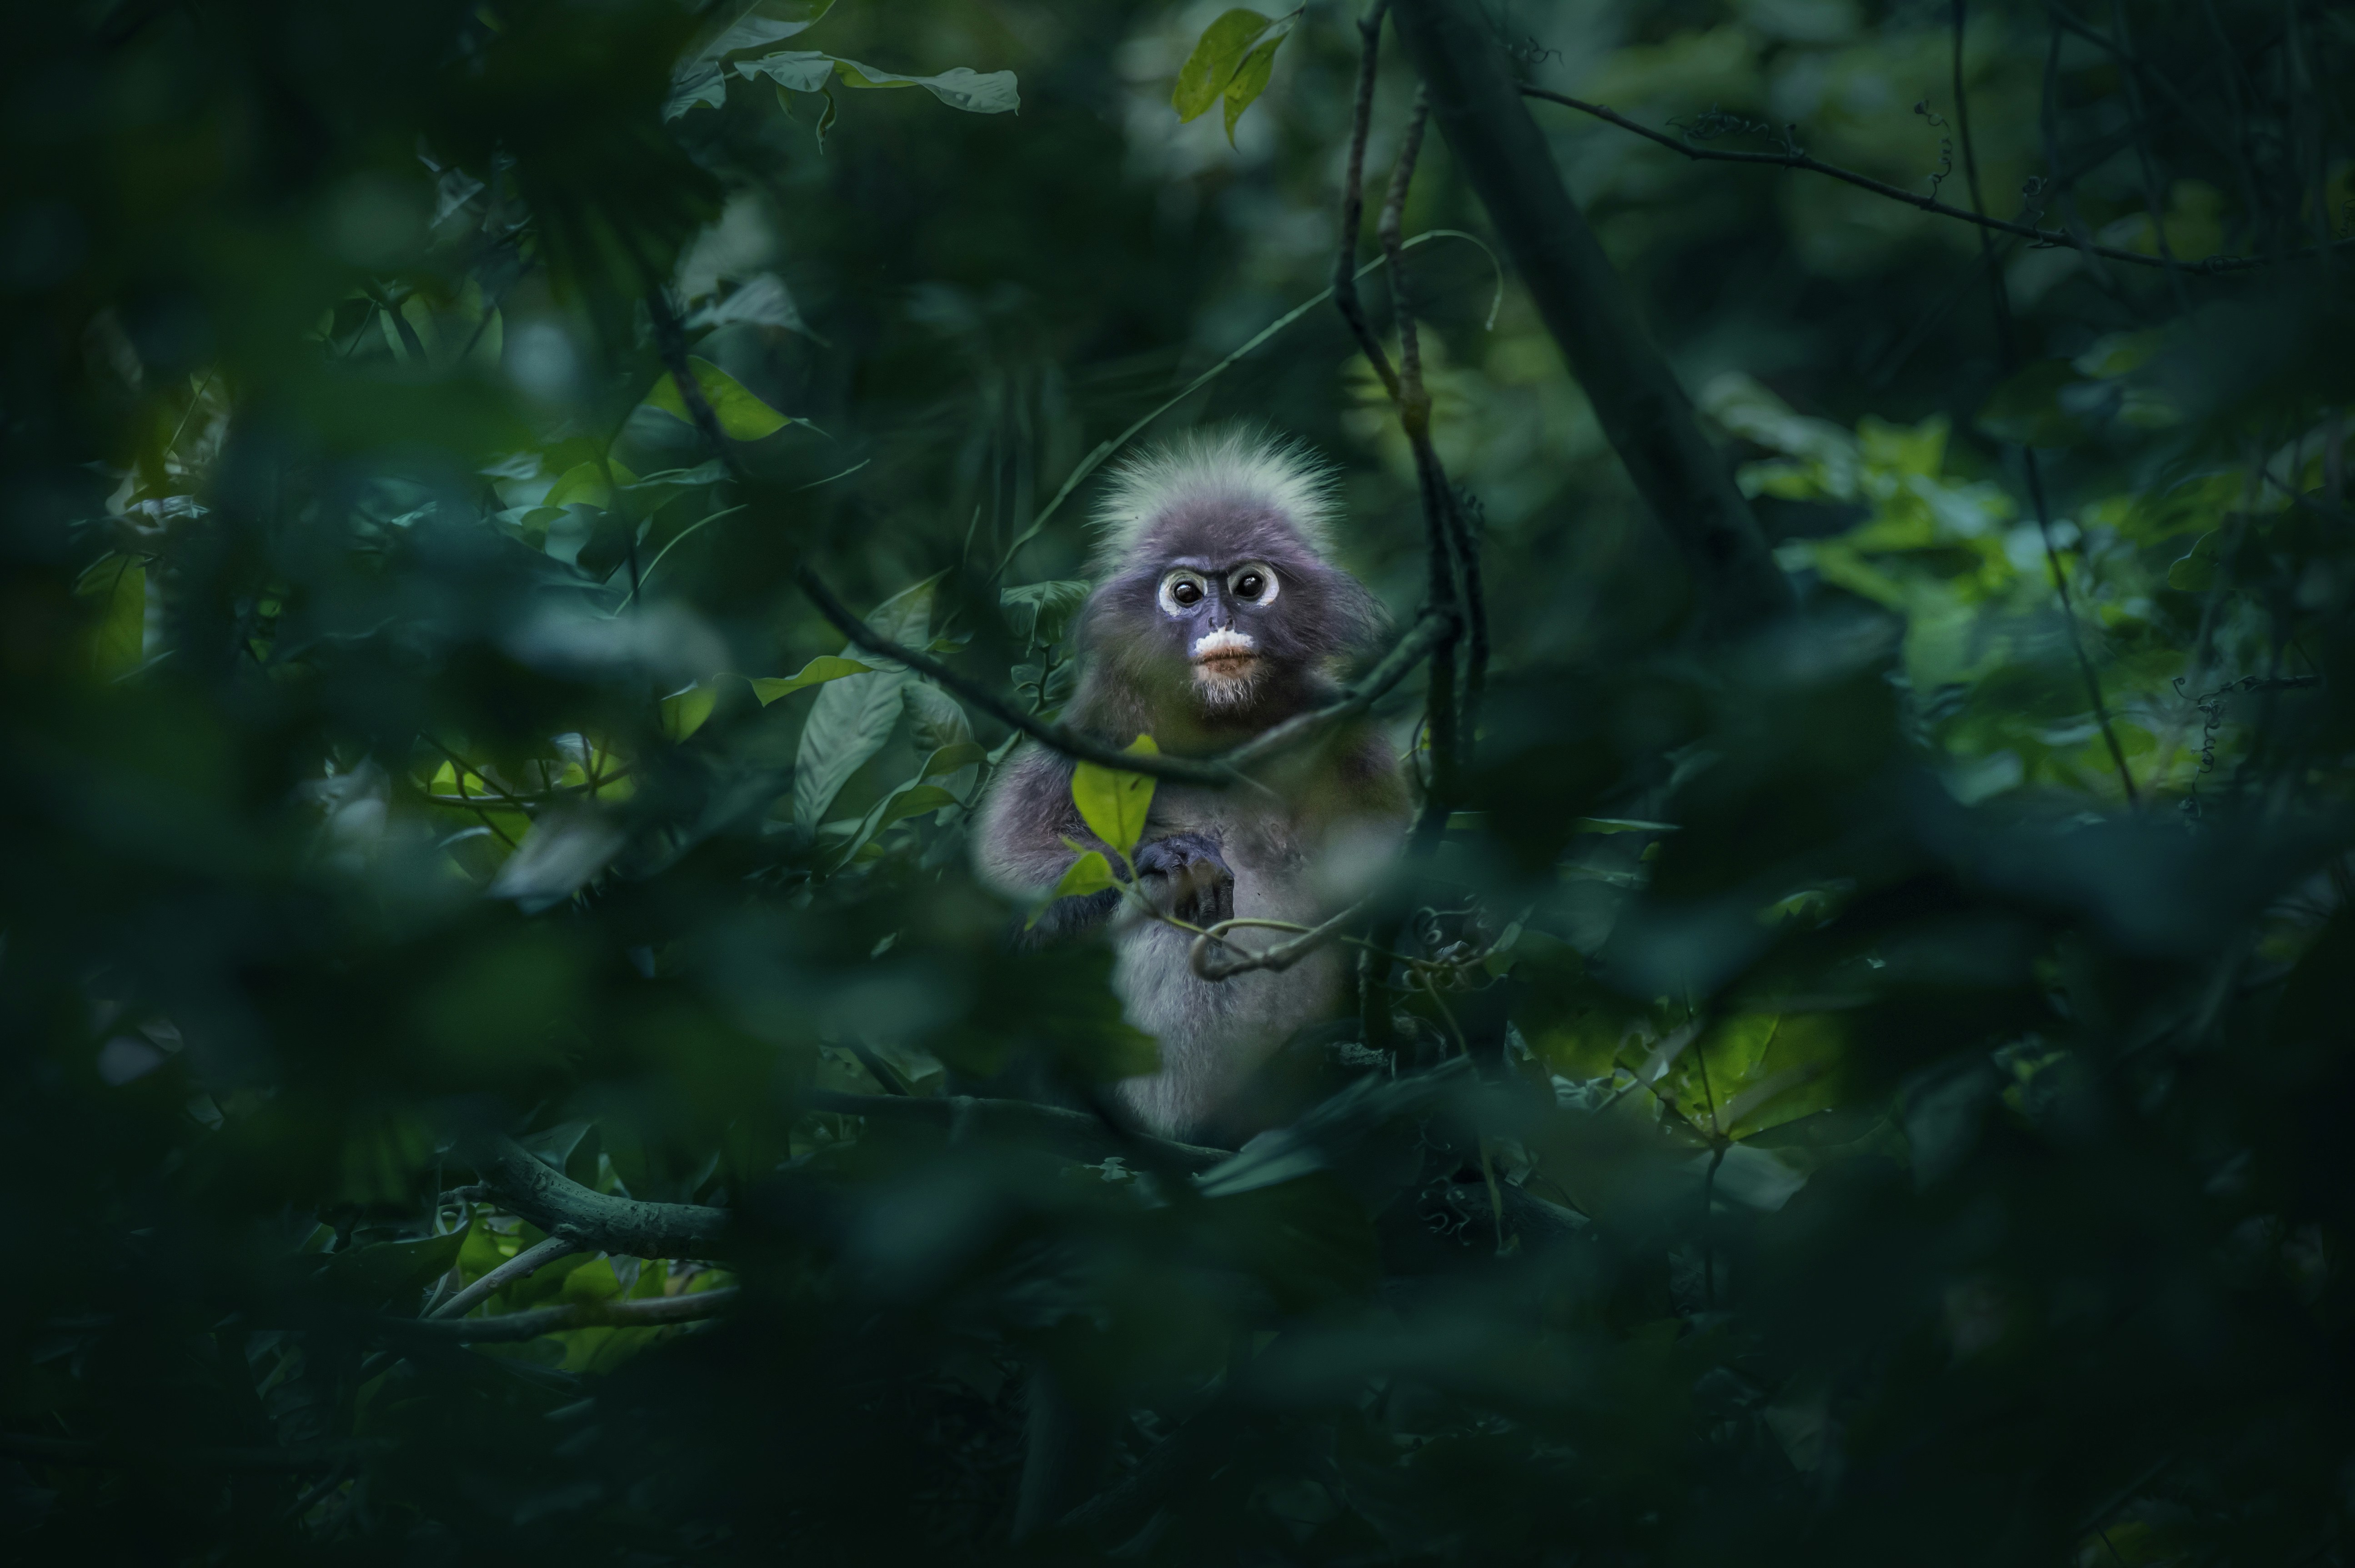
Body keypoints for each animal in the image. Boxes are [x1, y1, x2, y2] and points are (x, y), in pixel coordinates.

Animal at [974, 429, 1411, 1145]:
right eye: (1184, 592)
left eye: (1250, 584)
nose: (1217, 620)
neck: (1222, 735)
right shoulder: (1091, 732)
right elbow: (1005, 903)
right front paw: (1166, 852)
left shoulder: (1349, 735)